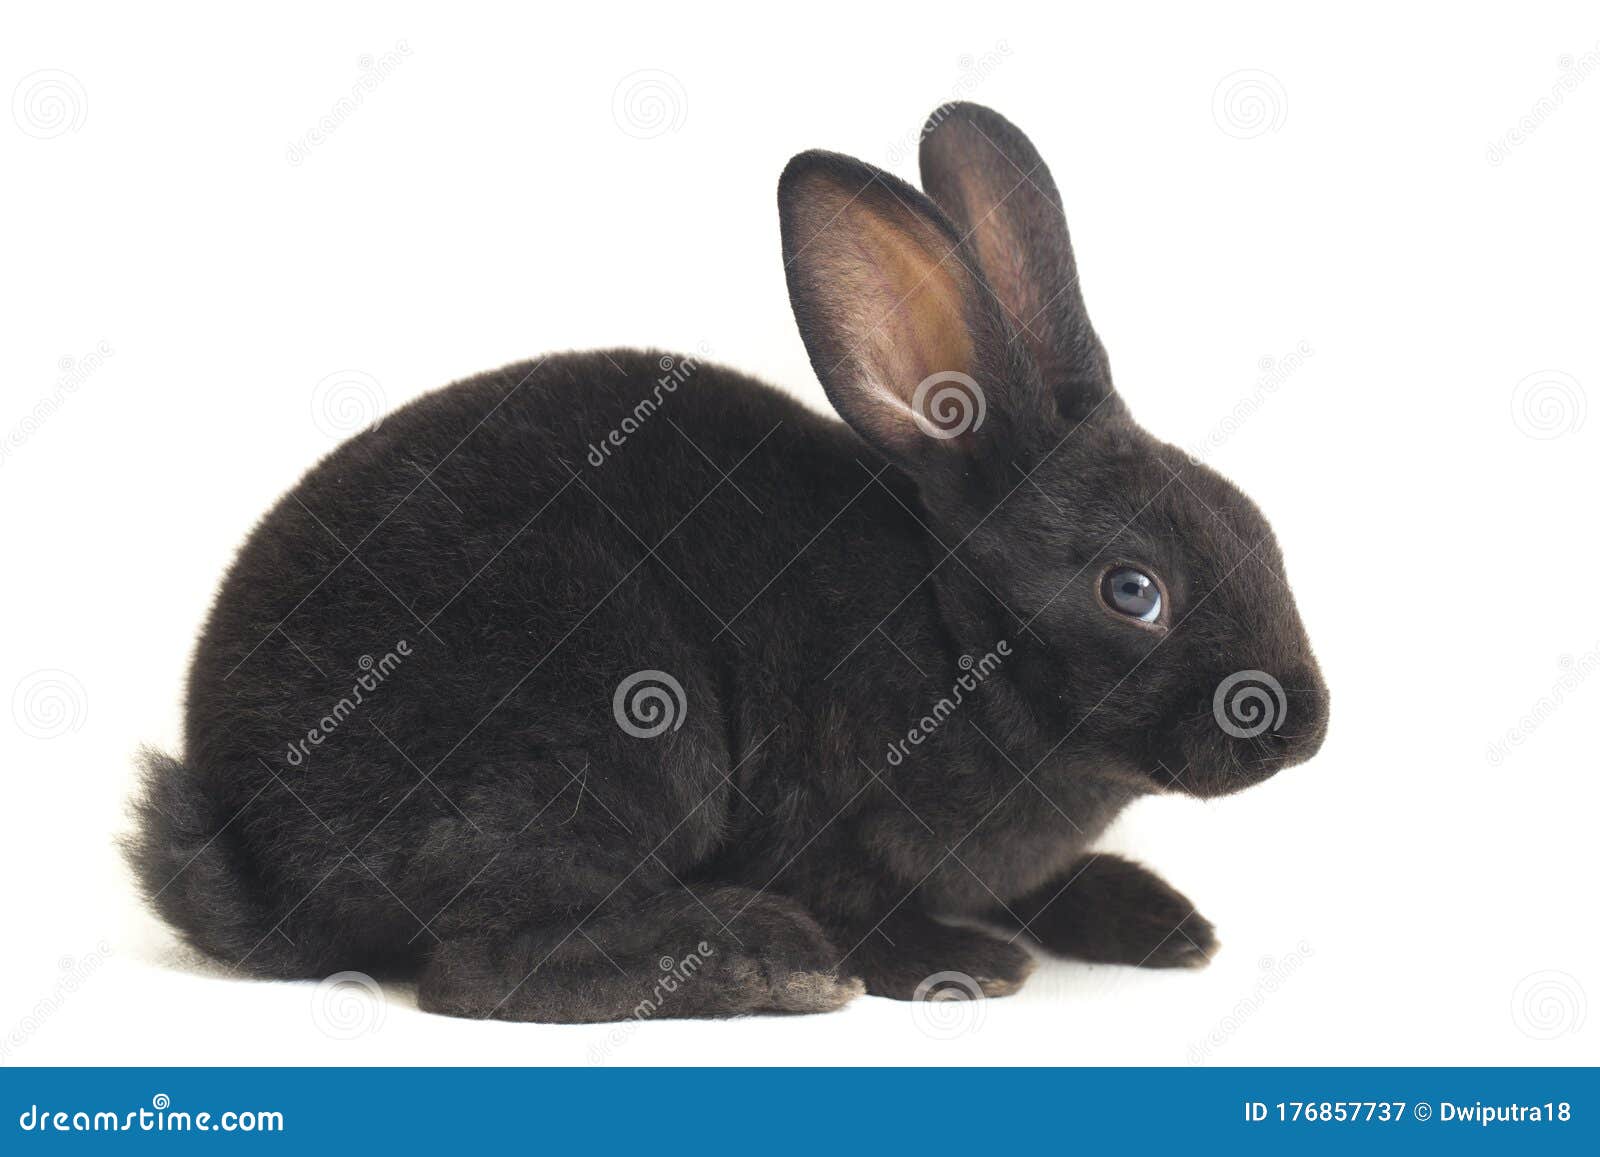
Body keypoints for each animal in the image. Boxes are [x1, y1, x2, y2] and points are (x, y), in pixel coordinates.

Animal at [125, 102, 1328, 1022]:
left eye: (1258, 528)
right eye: (1133, 591)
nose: (1305, 722)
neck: (955, 635)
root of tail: (248, 850)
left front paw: (1163, 923)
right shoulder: (818, 811)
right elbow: (864, 902)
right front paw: (958, 964)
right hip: (628, 739)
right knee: (474, 967)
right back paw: (763, 962)